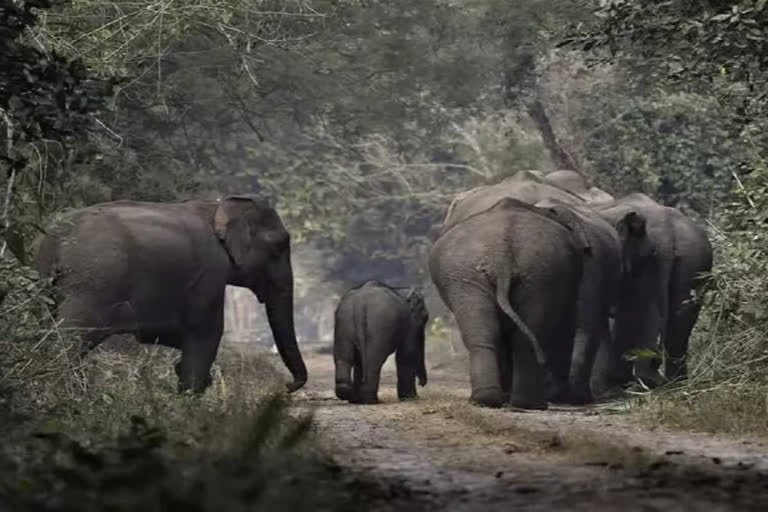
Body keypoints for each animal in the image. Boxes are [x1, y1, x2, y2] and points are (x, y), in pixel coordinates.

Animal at [34, 196, 308, 394]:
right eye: (278, 246)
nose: (287, 386)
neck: (217, 208)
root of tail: (59, 239)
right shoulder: (210, 274)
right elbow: (206, 334)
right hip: (91, 286)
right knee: (71, 340)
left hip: (45, 278)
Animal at [429, 197, 584, 409]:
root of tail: (501, 255)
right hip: (537, 273)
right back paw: (528, 403)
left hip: (527, 273)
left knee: (488, 332)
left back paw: (492, 400)